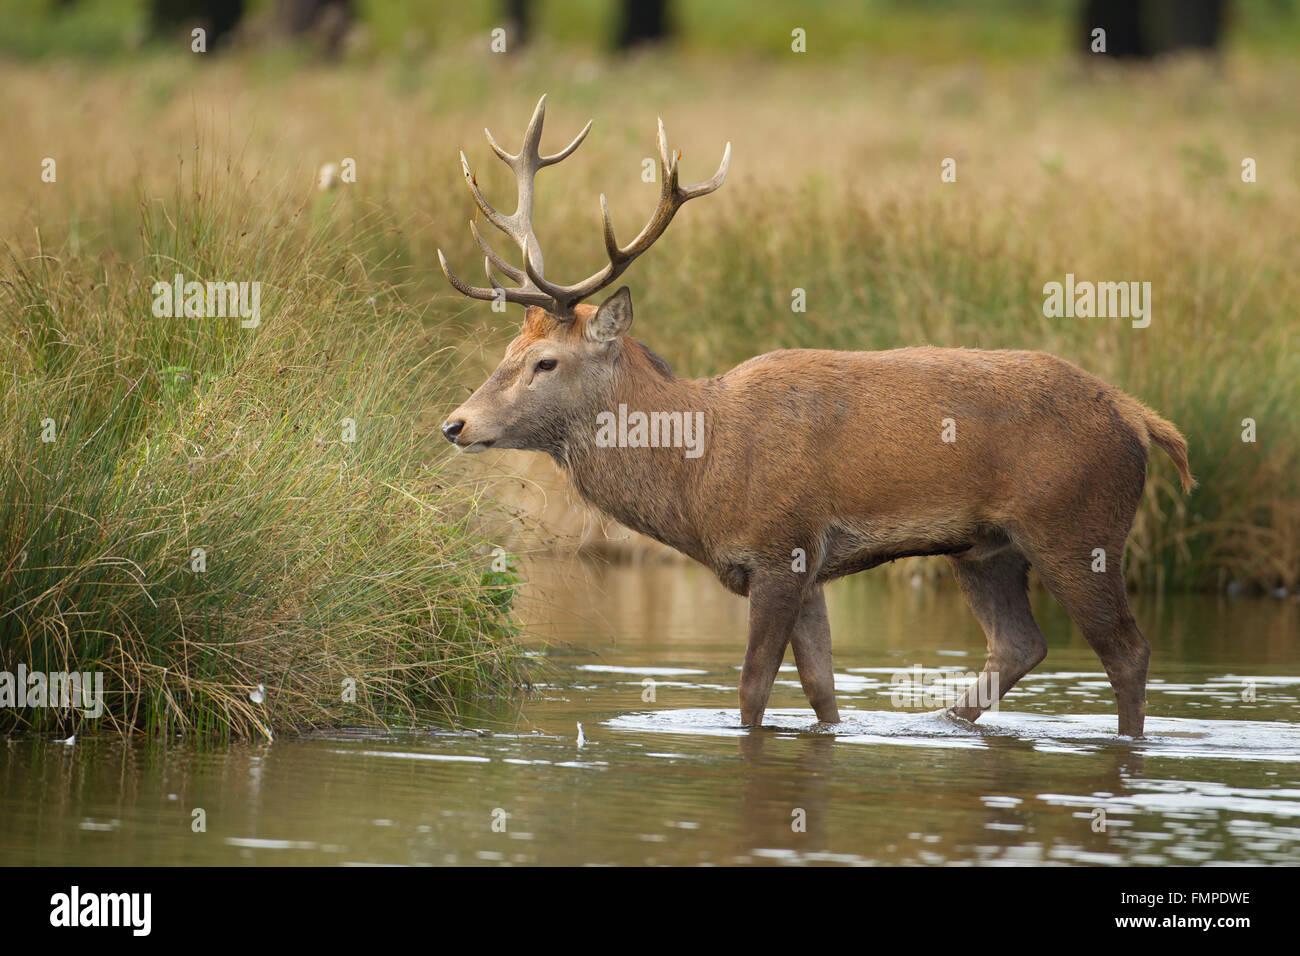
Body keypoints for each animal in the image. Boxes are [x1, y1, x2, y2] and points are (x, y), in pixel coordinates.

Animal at [437, 96, 1194, 738]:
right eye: (507, 351)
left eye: (545, 363)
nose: (456, 424)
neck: (699, 479)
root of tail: (1138, 417)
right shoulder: (810, 567)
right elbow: (822, 689)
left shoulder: (780, 545)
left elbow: (752, 690)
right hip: (986, 548)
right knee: (1019, 643)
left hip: (1077, 526)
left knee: (1127, 650)